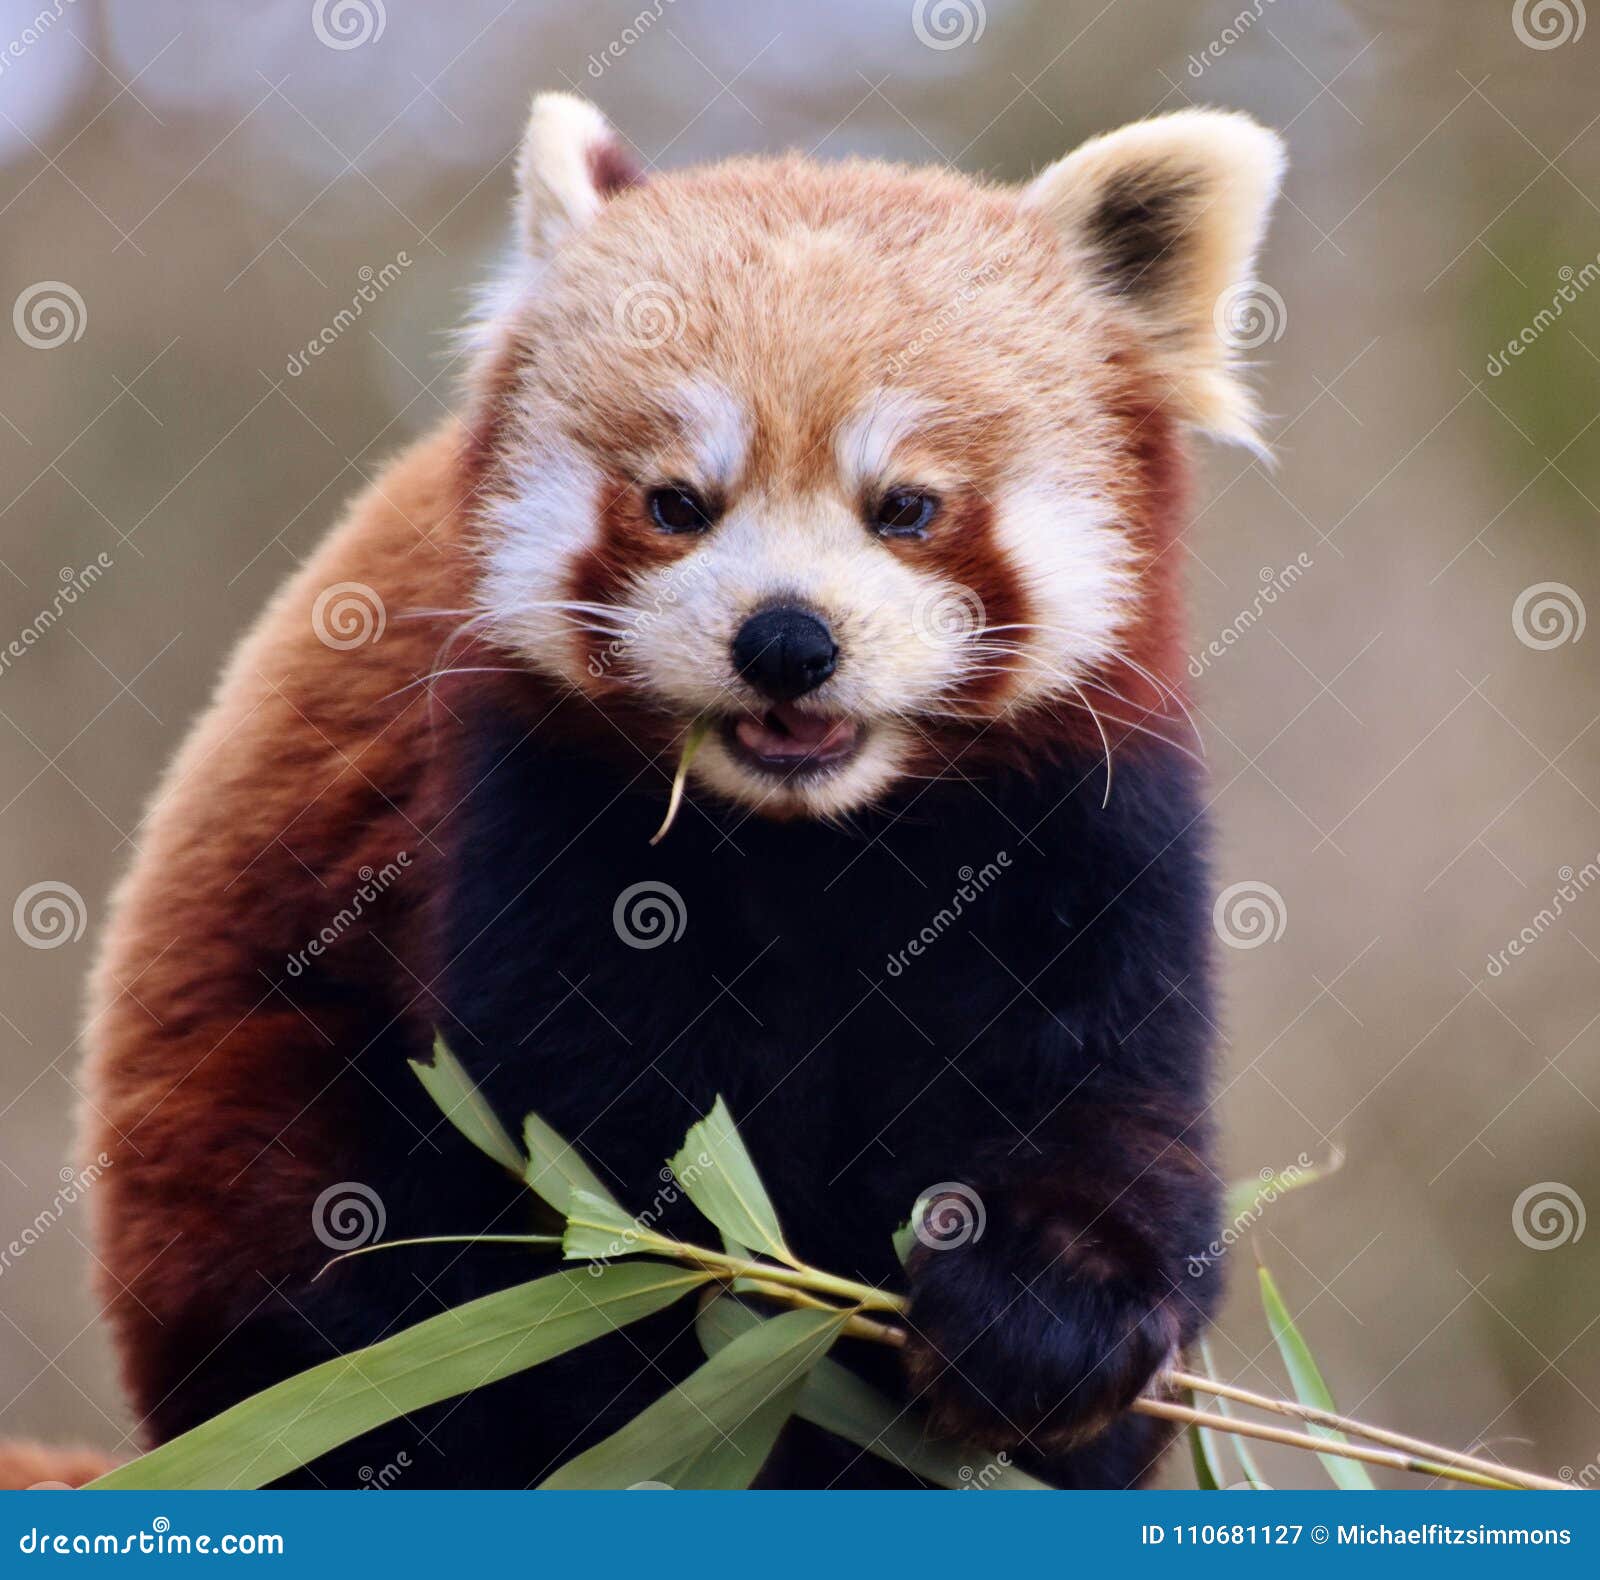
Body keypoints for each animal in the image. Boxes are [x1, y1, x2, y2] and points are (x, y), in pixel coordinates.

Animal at [72, 93, 1283, 1489]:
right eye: (675, 502)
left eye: (906, 507)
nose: (786, 641)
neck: (817, 836)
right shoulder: (535, 808)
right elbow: (600, 1184)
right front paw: (696, 1380)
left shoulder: (1078, 808)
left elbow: (1099, 1096)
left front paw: (1040, 1319)